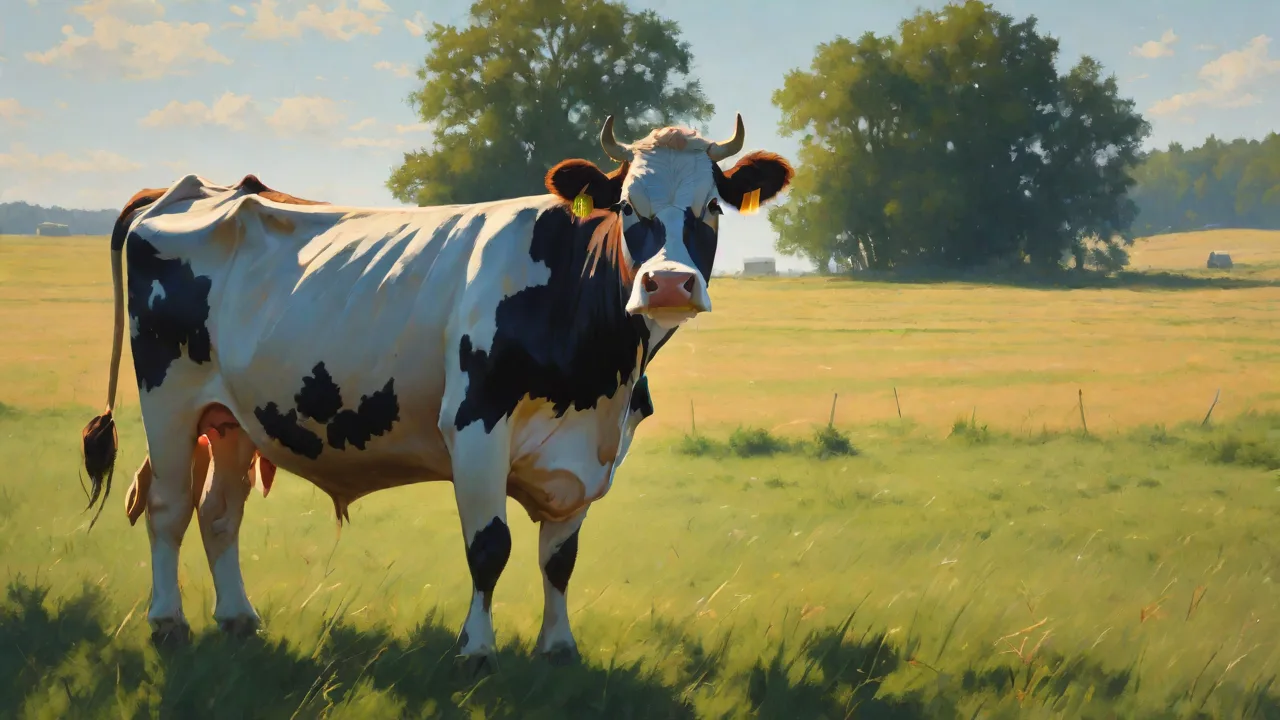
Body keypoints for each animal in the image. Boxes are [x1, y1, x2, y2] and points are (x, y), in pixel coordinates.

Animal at [79, 114, 793, 672]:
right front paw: (476, 649)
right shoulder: (476, 426)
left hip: (232, 417)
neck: (598, 383)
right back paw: (168, 622)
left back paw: (237, 619)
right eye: (626, 209)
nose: (667, 283)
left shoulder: (590, 452)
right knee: (168, 506)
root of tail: (192, 188)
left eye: (710, 208)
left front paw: (558, 647)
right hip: (169, 400)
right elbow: (490, 547)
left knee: (219, 511)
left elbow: (559, 559)